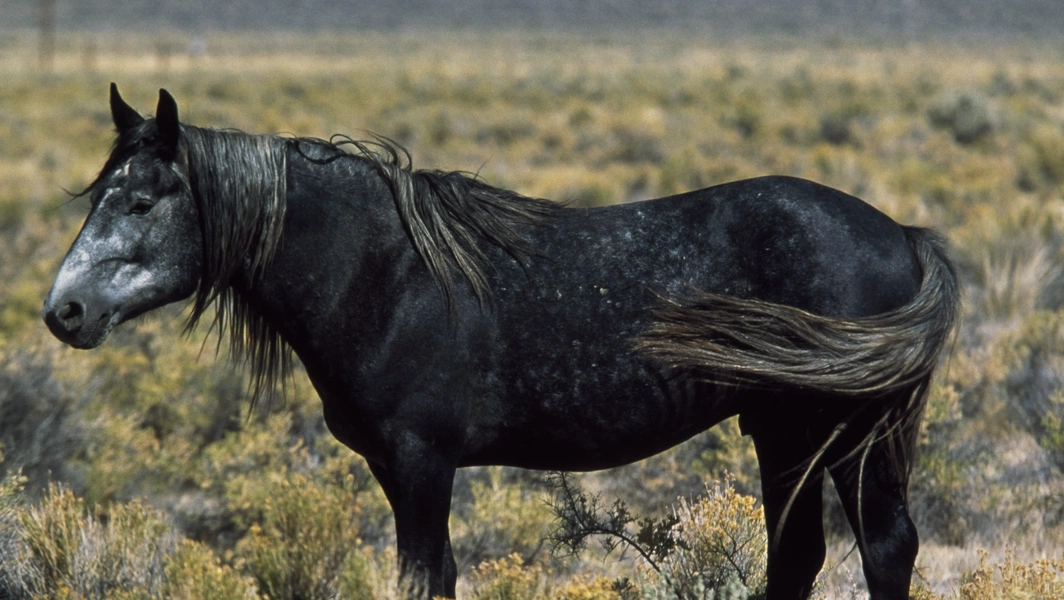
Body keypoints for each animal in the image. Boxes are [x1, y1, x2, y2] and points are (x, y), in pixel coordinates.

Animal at [44, 85, 958, 600]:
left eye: (142, 200)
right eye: (99, 194)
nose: (65, 310)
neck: (381, 269)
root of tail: (903, 236)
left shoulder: (423, 462)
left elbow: (421, 578)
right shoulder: (397, 468)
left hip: (851, 436)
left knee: (884, 549)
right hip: (784, 434)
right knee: (798, 556)